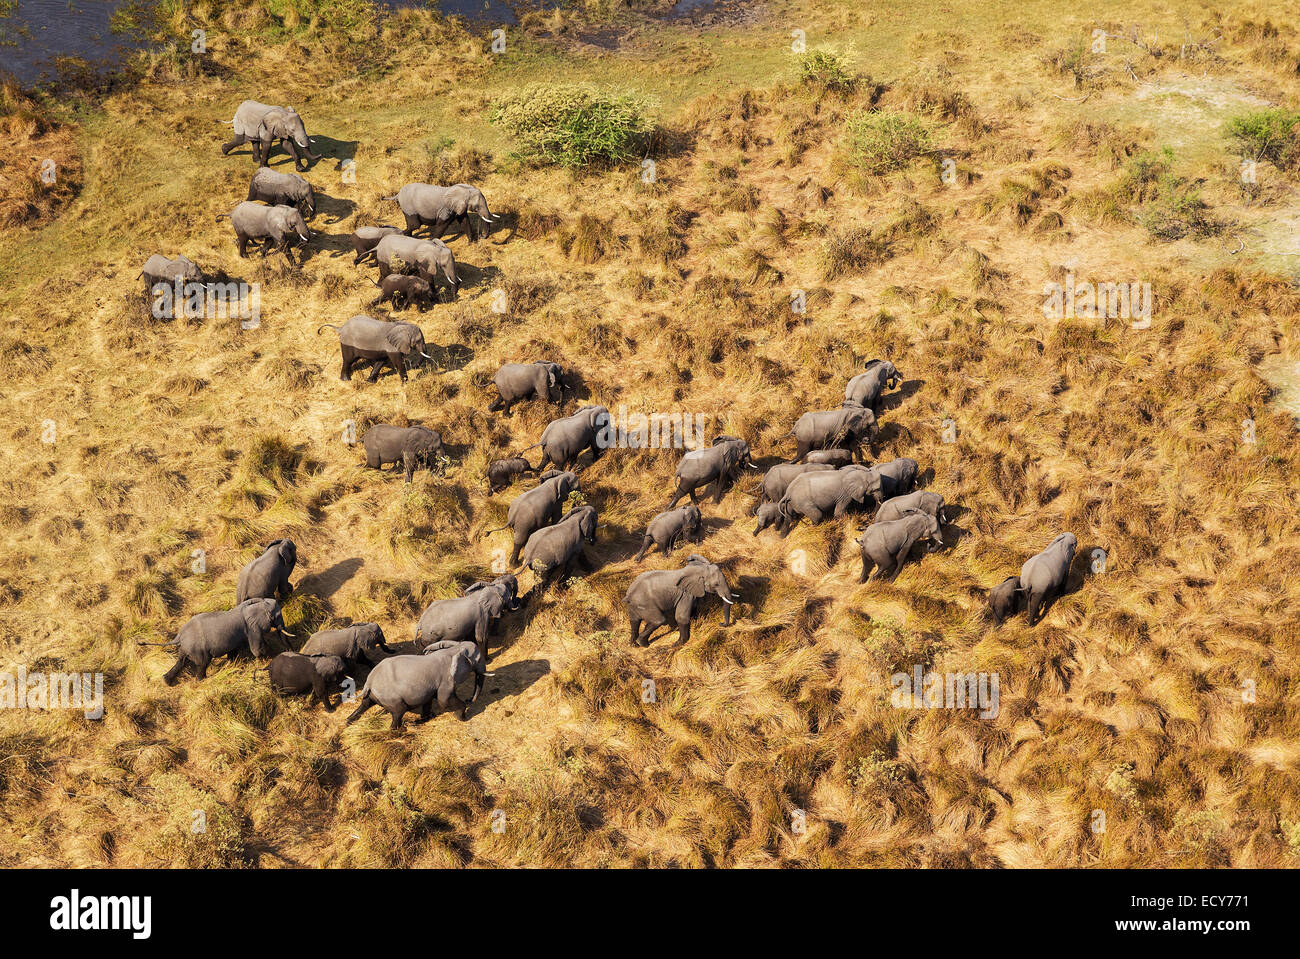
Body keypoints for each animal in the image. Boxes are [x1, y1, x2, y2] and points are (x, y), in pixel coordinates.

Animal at [140, 598, 292, 685]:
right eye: (278, 615)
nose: (291, 650)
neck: (259, 605)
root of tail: (179, 636)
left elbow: (234, 651)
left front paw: (234, 664)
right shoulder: (253, 628)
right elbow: (257, 649)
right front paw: (268, 659)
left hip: (186, 648)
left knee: (181, 662)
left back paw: (166, 681)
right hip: (198, 649)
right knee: (203, 663)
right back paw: (202, 681)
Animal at [346, 641, 486, 727]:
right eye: (478, 659)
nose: (469, 699)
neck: (455, 649)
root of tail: (369, 682)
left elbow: (429, 700)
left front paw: (424, 719)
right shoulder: (446, 680)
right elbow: (444, 701)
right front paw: (462, 717)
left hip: (374, 695)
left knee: (365, 704)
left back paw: (348, 721)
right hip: (391, 699)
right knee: (398, 712)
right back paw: (399, 730)